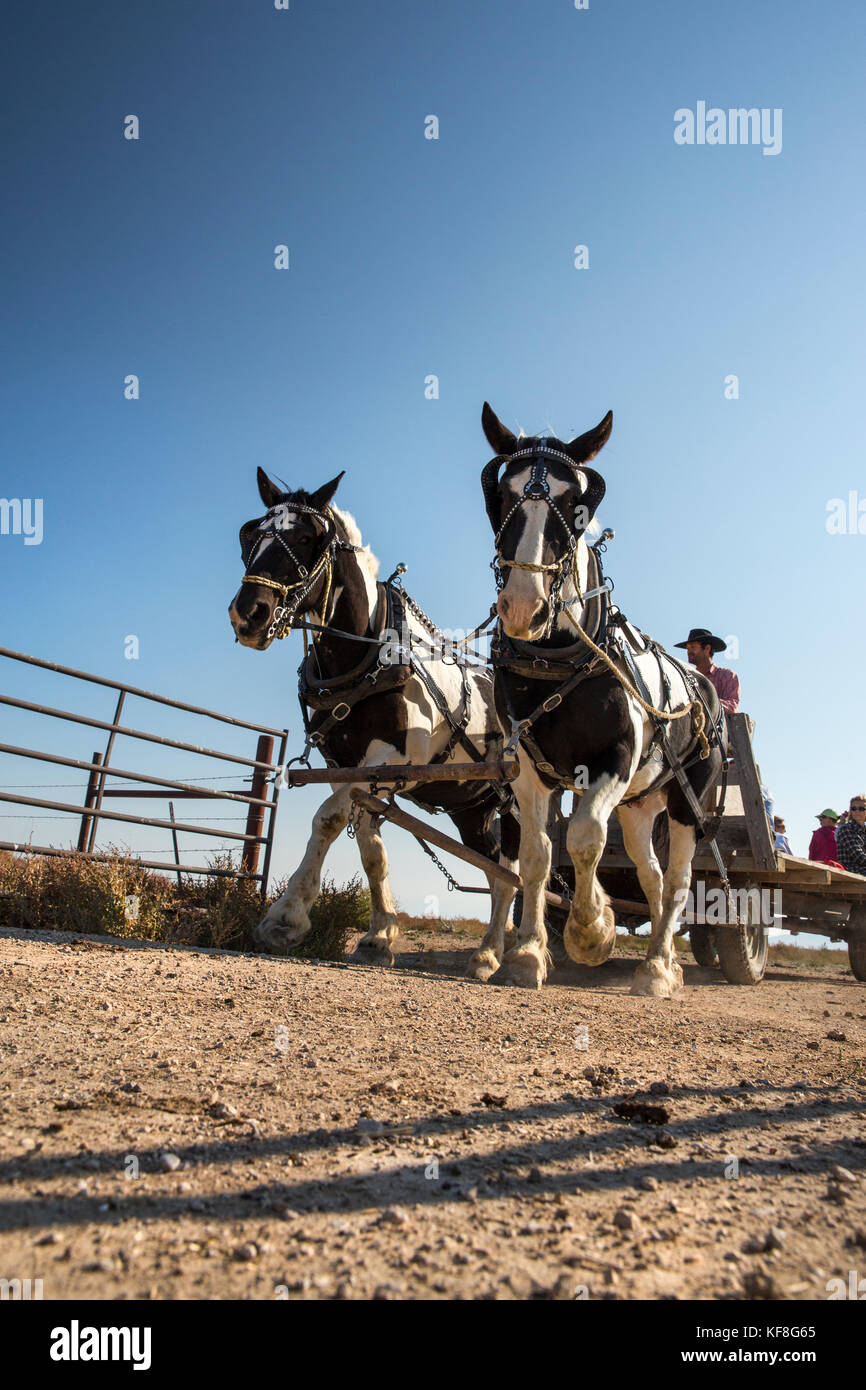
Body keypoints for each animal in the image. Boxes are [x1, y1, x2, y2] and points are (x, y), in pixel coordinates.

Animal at [229, 466, 519, 972]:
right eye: (249, 534)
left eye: (306, 537)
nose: (249, 613)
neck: (366, 655)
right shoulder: (345, 765)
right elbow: (369, 844)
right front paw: (379, 934)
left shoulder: (394, 758)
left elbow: (327, 820)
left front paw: (286, 917)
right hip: (474, 809)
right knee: (497, 867)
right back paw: (493, 949)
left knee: (526, 867)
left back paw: (502, 952)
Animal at [477, 403, 726, 997]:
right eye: (499, 494)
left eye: (579, 504)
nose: (523, 606)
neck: (559, 658)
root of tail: (705, 692)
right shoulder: (529, 767)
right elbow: (537, 856)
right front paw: (527, 954)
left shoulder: (613, 761)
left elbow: (586, 836)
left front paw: (593, 931)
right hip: (639, 806)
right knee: (651, 874)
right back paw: (665, 958)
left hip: (688, 801)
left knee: (678, 878)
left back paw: (656, 967)